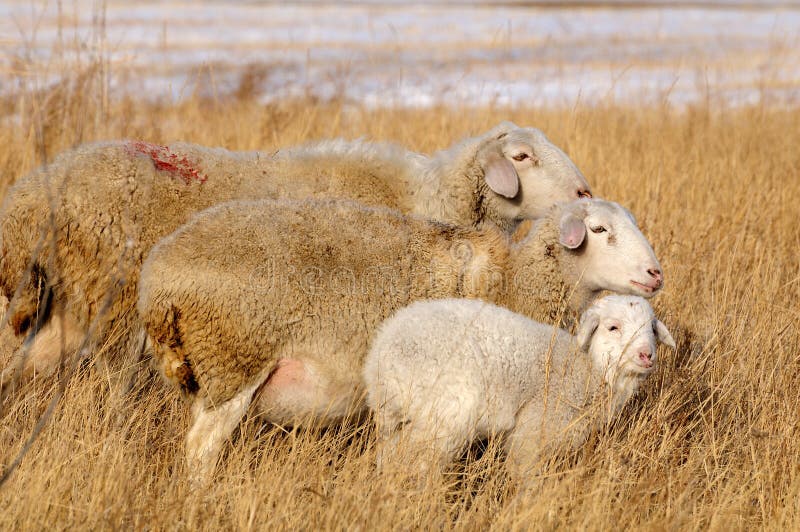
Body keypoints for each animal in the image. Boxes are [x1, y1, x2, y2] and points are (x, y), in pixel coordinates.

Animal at [0, 122, 591, 393]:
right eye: (522, 156)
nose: (585, 192)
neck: (427, 194)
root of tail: (25, 202)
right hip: (111, 299)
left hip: (68, 302)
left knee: (29, 362)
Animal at [363, 295, 675, 479]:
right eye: (613, 327)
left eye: (651, 328)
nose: (647, 355)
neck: (586, 368)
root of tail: (384, 350)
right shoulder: (532, 434)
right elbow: (527, 479)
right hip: (446, 414)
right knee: (418, 461)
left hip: (396, 416)